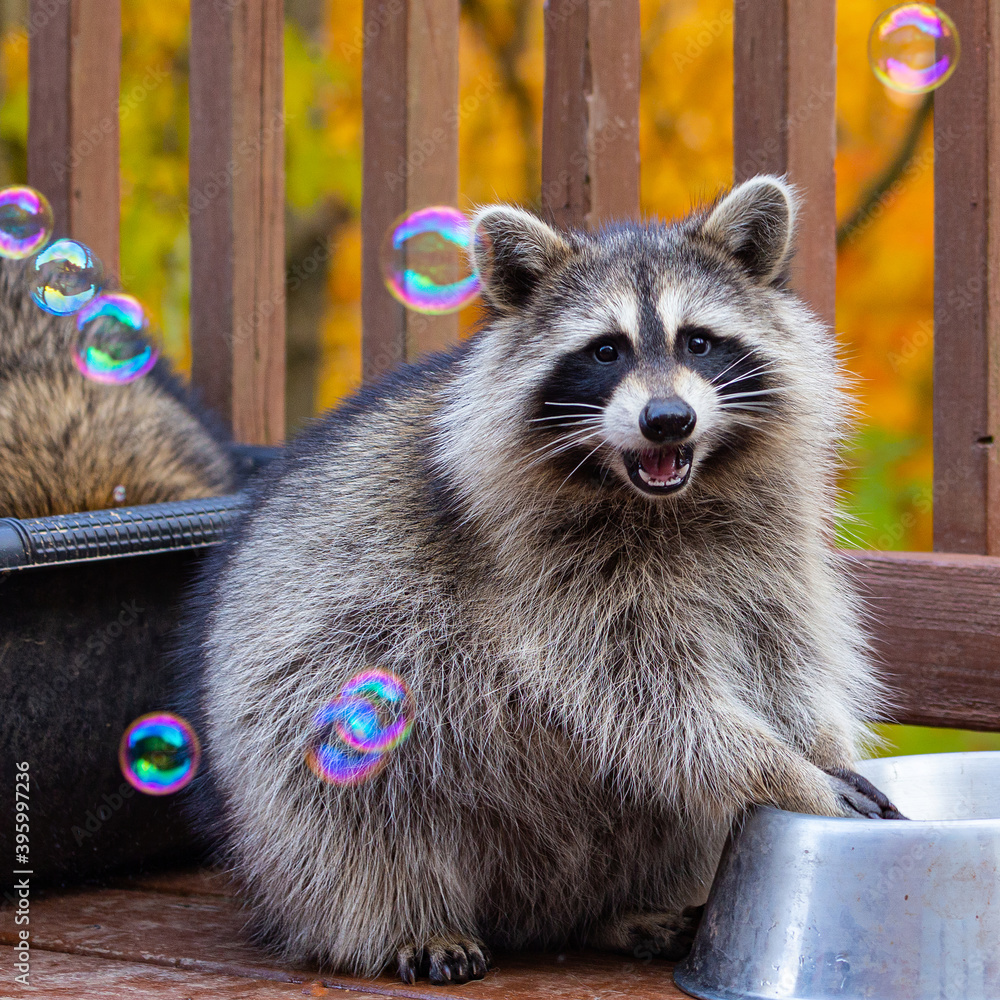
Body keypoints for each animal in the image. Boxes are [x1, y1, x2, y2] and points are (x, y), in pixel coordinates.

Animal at [182, 176, 901, 985]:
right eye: (606, 350)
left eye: (698, 341)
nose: (668, 420)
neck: (664, 500)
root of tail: (531, 909)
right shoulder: (541, 584)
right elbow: (655, 709)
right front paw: (788, 774)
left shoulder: (768, 554)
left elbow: (786, 659)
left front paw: (821, 747)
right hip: (303, 710)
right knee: (353, 816)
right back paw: (404, 919)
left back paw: (623, 909)